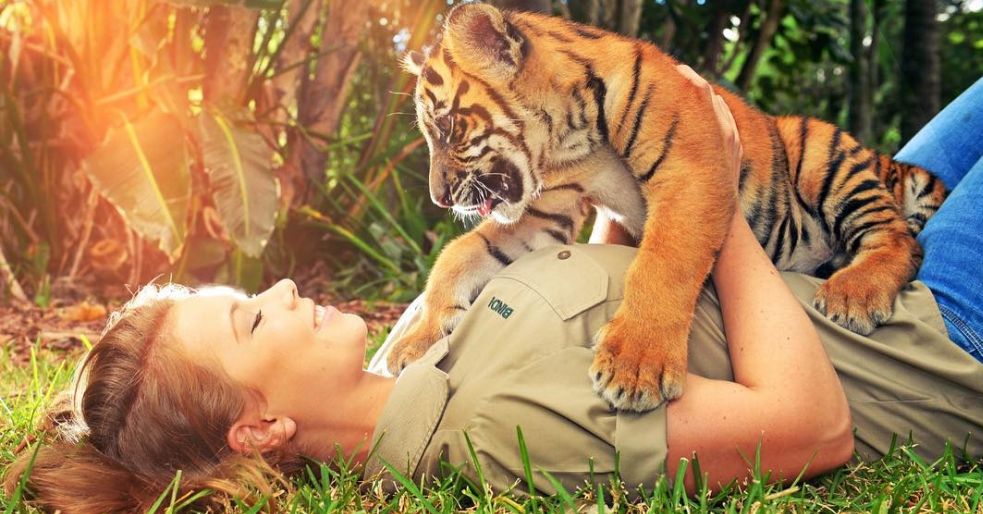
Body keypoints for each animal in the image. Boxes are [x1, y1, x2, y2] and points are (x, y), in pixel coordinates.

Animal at [386, 3, 947, 412]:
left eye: (447, 127)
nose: (437, 197)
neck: (573, 143)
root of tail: (884, 159)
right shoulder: (548, 216)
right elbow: (459, 255)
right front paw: (417, 341)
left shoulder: (690, 174)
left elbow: (663, 263)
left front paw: (636, 367)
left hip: (822, 158)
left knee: (901, 239)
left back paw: (853, 293)